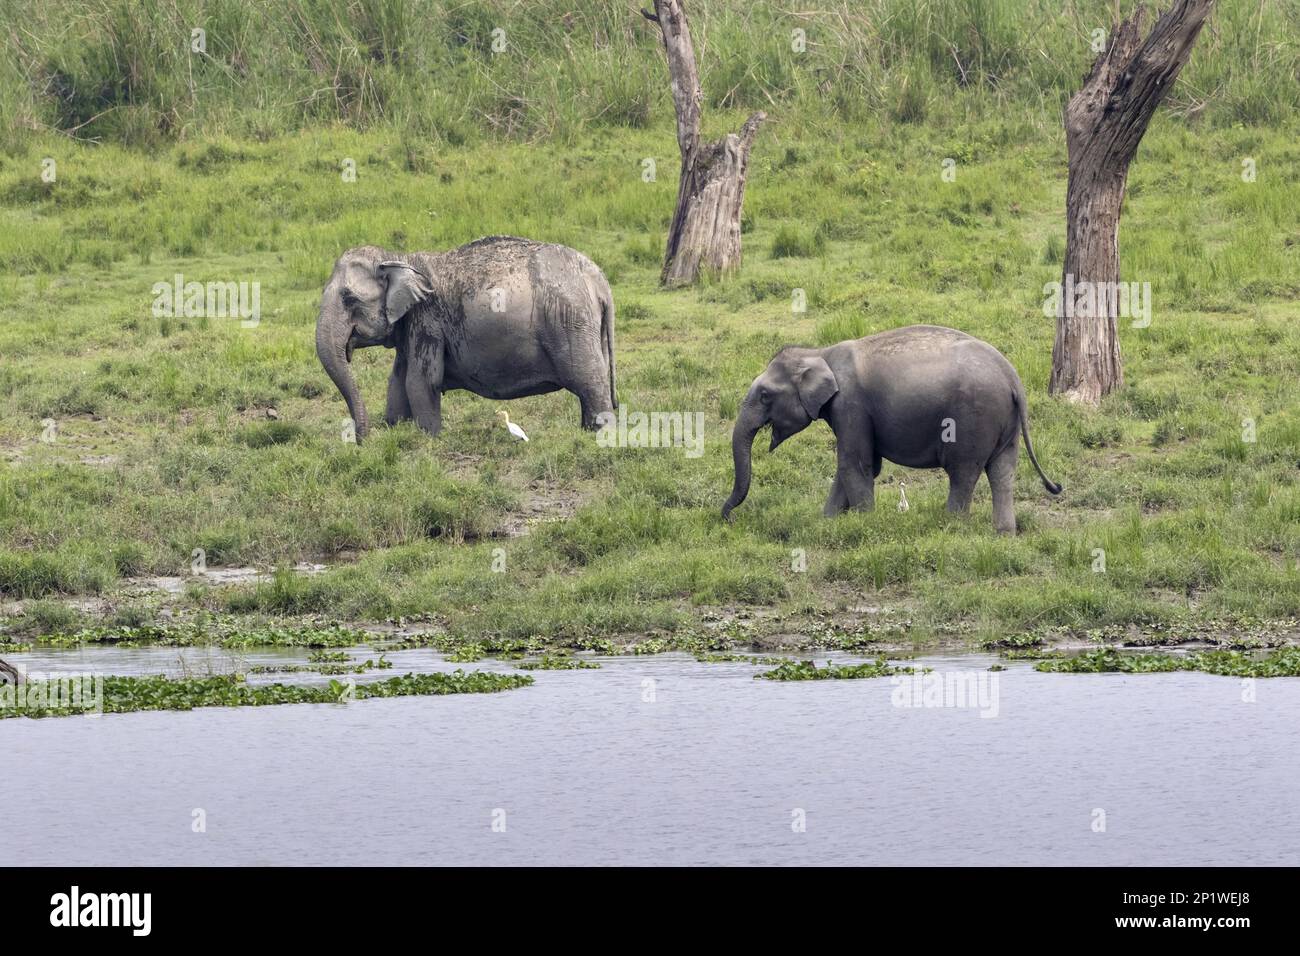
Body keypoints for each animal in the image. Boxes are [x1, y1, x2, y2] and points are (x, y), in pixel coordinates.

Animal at [315, 235, 616, 441]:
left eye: (348, 298)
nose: (361, 441)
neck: (400, 258)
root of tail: (599, 279)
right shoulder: (410, 328)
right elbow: (397, 381)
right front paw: (396, 432)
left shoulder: (427, 319)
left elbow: (421, 381)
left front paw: (429, 440)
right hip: (587, 326)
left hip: (570, 320)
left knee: (589, 381)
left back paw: (601, 438)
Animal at [721, 325, 1061, 534]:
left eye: (765, 395)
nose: (728, 518)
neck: (820, 352)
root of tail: (1013, 378)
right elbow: (860, 465)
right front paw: (827, 521)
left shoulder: (851, 406)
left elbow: (854, 463)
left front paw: (864, 524)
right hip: (1006, 424)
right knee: (1003, 471)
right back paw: (1004, 533)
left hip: (973, 419)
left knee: (963, 472)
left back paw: (951, 526)